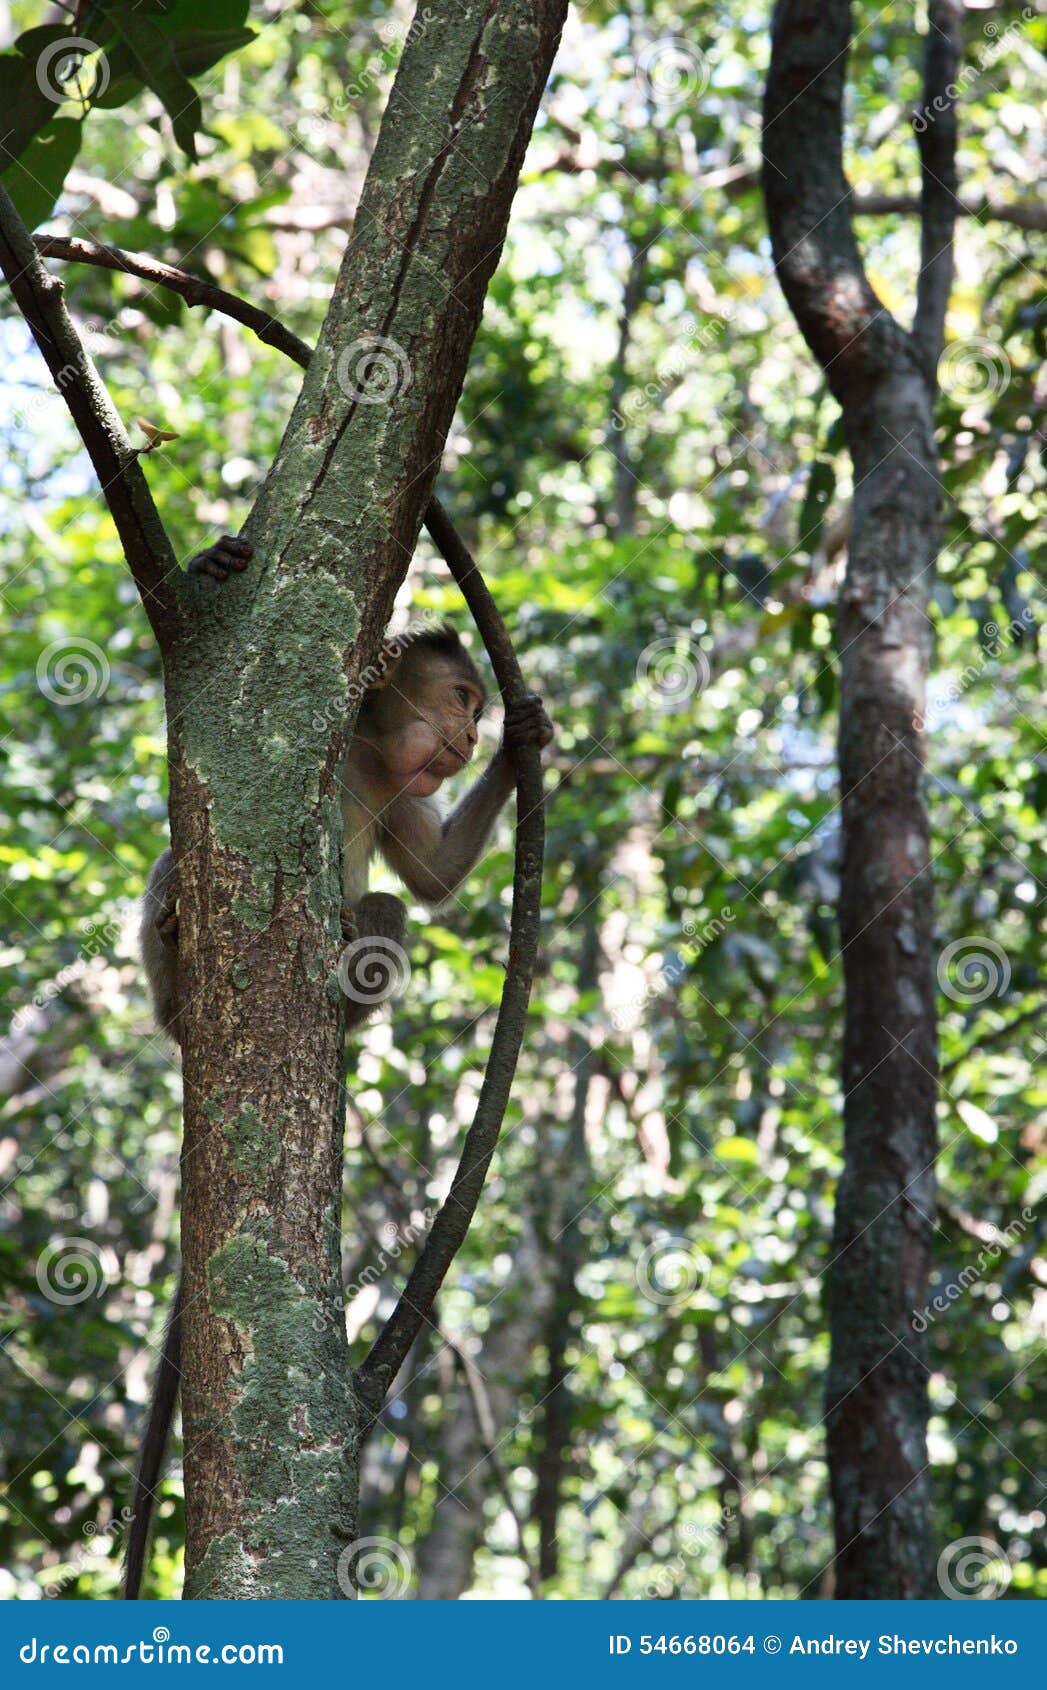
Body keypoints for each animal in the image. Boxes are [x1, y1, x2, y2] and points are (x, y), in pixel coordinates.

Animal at [126, 536, 552, 1597]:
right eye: (459, 698)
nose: (473, 734)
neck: (364, 754)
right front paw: (212, 563)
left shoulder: (401, 792)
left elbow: (429, 882)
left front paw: (528, 746)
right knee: (173, 867)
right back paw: (176, 933)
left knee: (388, 915)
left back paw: (347, 992)